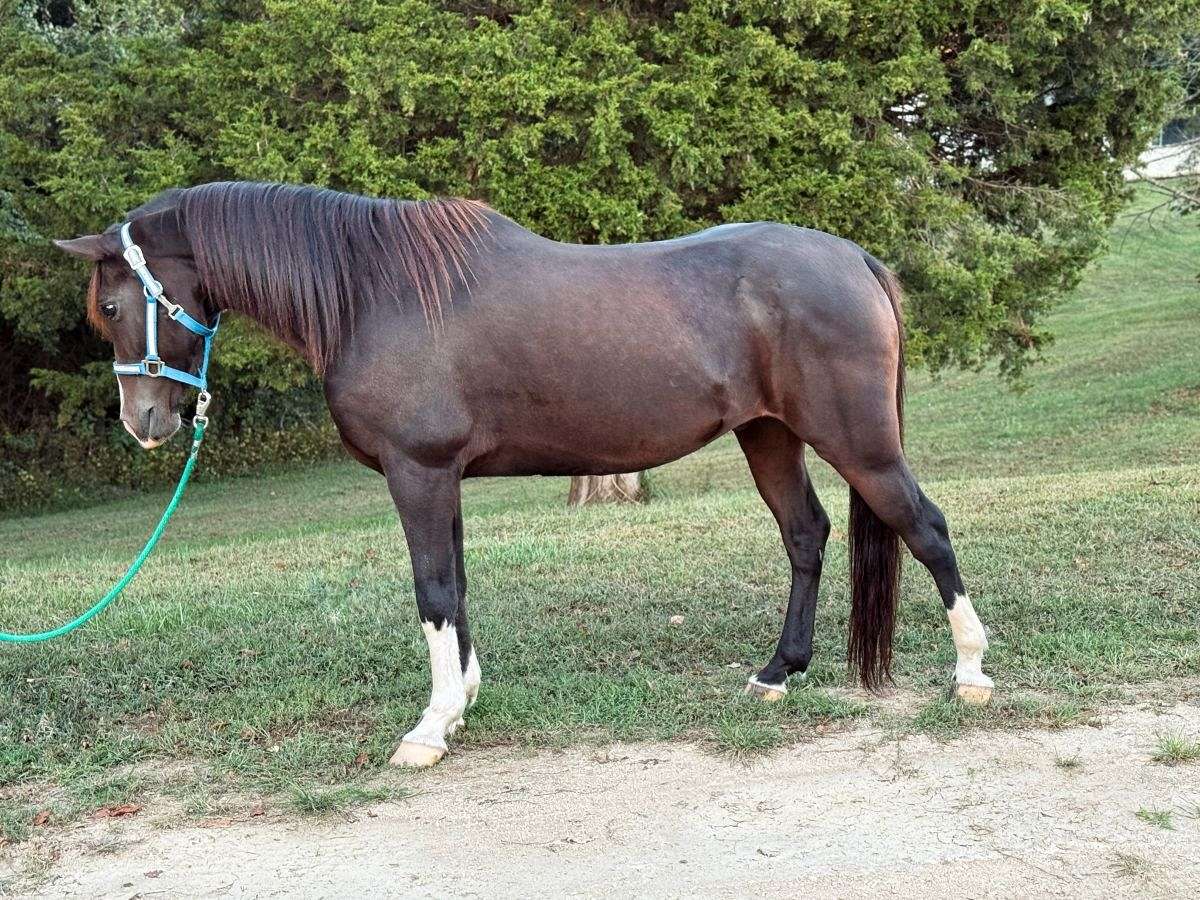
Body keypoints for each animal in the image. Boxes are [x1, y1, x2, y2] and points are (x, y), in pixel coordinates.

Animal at [54, 181, 994, 767]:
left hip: (858, 440)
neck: (374, 291)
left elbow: (433, 589)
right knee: (807, 535)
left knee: (924, 527)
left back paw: (971, 674)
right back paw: (776, 672)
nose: (146, 422)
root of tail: (854, 260)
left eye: (113, 304)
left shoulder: (418, 473)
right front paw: (464, 697)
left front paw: (431, 727)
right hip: (769, 437)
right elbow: (459, 587)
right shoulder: (443, 479)